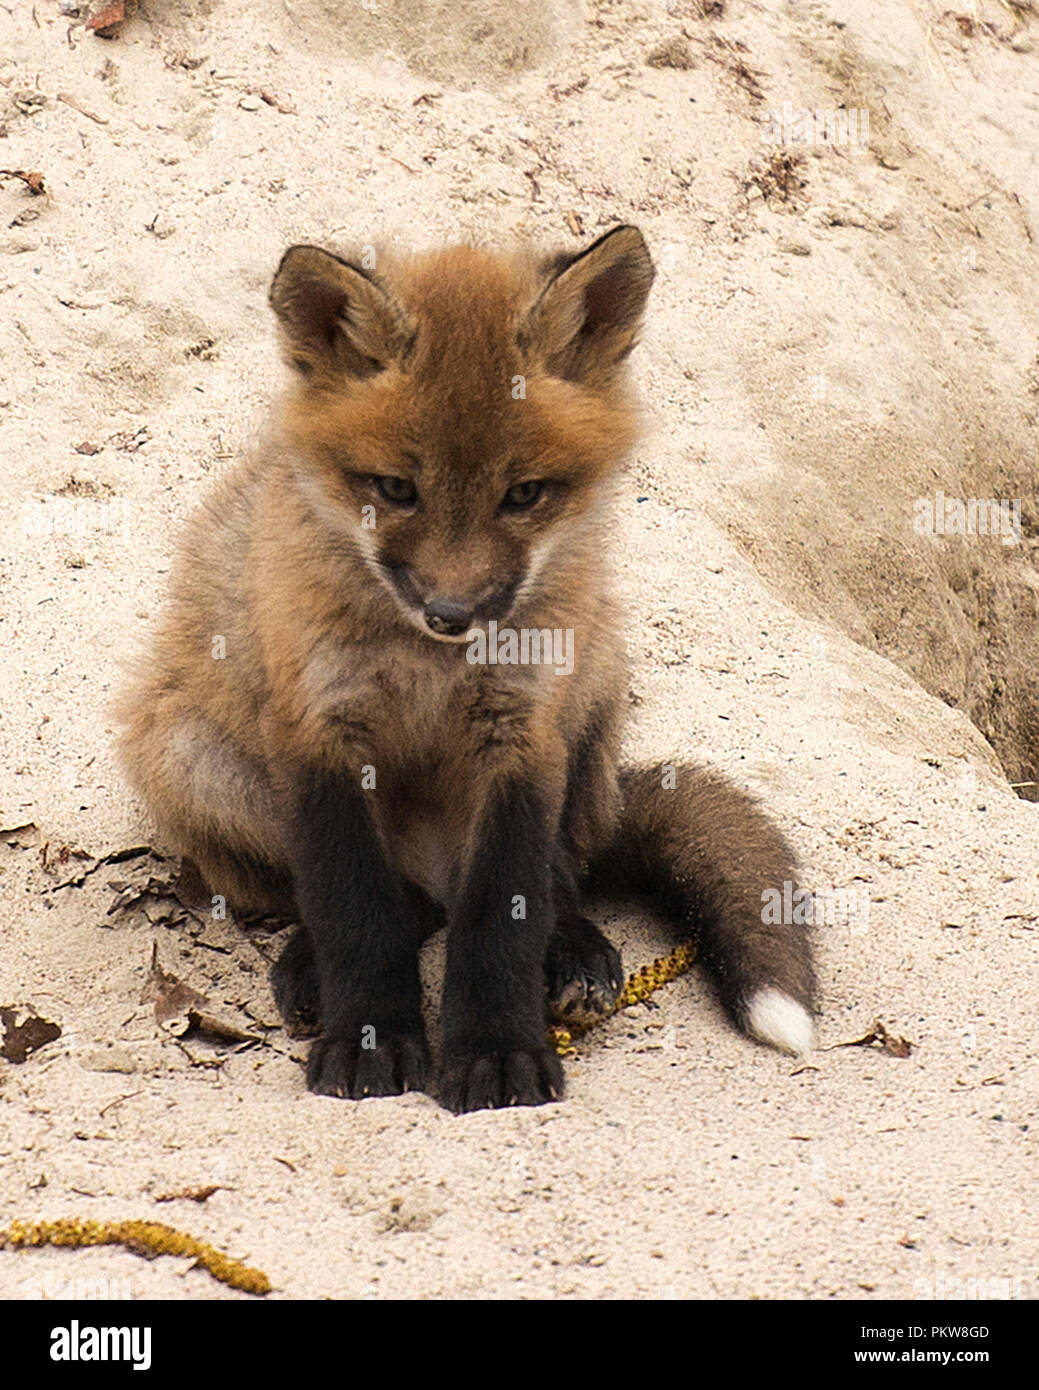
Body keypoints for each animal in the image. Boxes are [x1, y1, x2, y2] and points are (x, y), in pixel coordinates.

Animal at [116, 225, 816, 1112]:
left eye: (523, 495)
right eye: (393, 489)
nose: (451, 615)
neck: (428, 669)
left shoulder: (520, 735)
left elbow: (502, 915)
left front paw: (496, 1054)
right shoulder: (321, 731)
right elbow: (352, 906)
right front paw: (371, 1042)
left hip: (593, 702)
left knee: (555, 883)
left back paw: (574, 957)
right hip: (185, 757)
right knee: (388, 906)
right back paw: (314, 970)